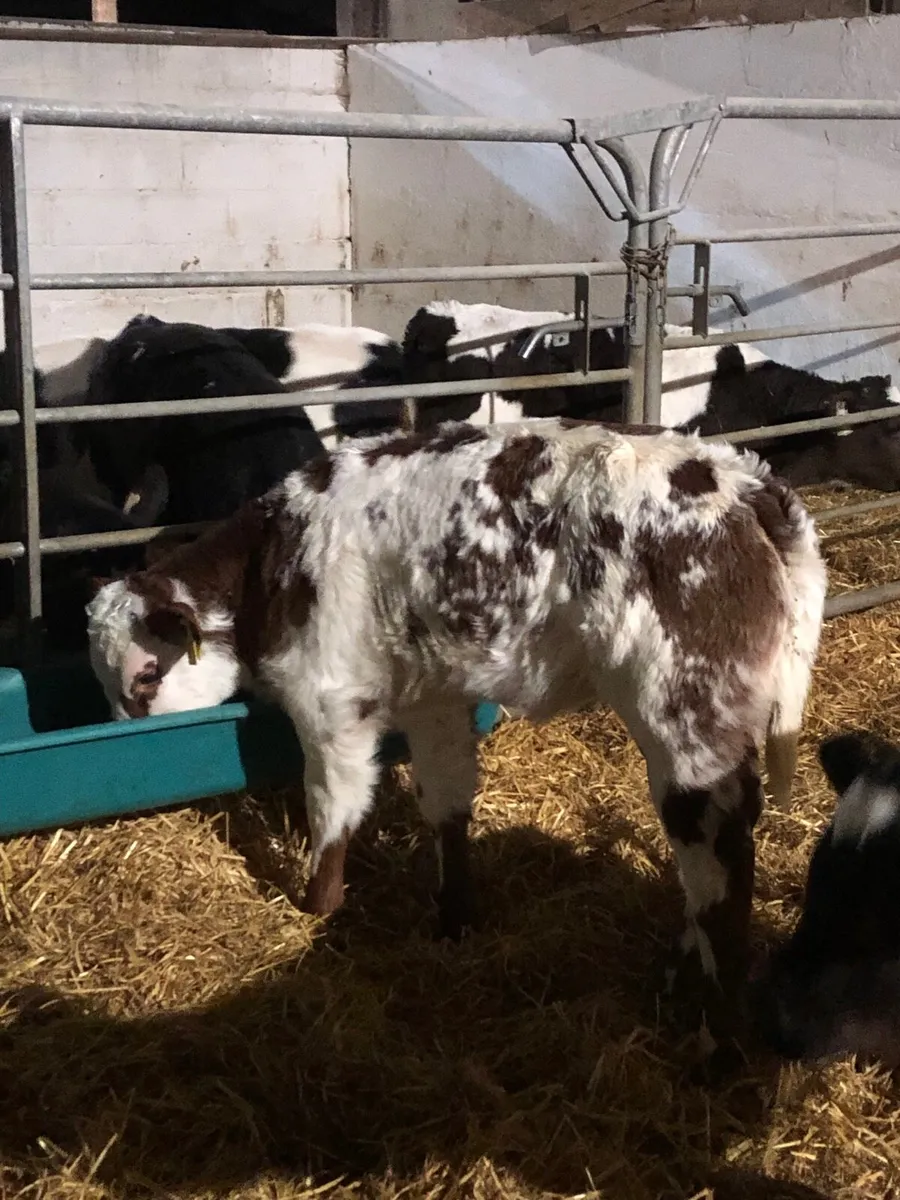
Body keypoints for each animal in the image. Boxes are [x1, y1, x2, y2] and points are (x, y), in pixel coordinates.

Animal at [86, 418, 827, 1055]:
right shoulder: (434, 700)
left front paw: (318, 909)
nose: (127, 739)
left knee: (718, 862)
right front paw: (453, 915)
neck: (275, 558)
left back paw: (712, 1034)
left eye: (144, 676)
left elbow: (332, 811)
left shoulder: (329, 701)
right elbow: (446, 804)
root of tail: (744, 480)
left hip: (688, 719)